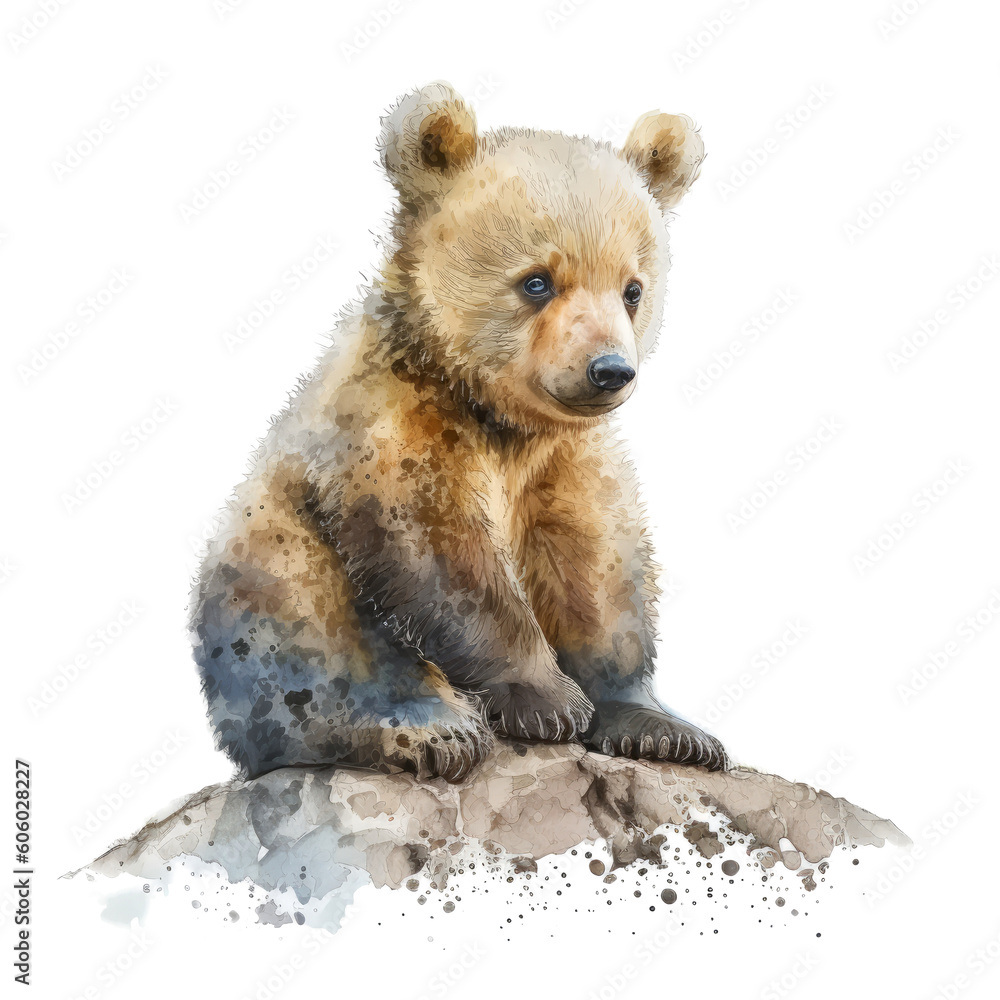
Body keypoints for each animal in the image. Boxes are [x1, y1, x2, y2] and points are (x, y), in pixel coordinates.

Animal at [190, 81, 728, 783]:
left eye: (632, 288)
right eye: (536, 280)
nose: (608, 370)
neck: (498, 417)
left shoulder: (567, 458)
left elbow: (596, 564)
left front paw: (663, 729)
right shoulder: (390, 426)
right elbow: (442, 553)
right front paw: (547, 700)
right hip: (265, 553)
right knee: (306, 628)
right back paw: (423, 727)